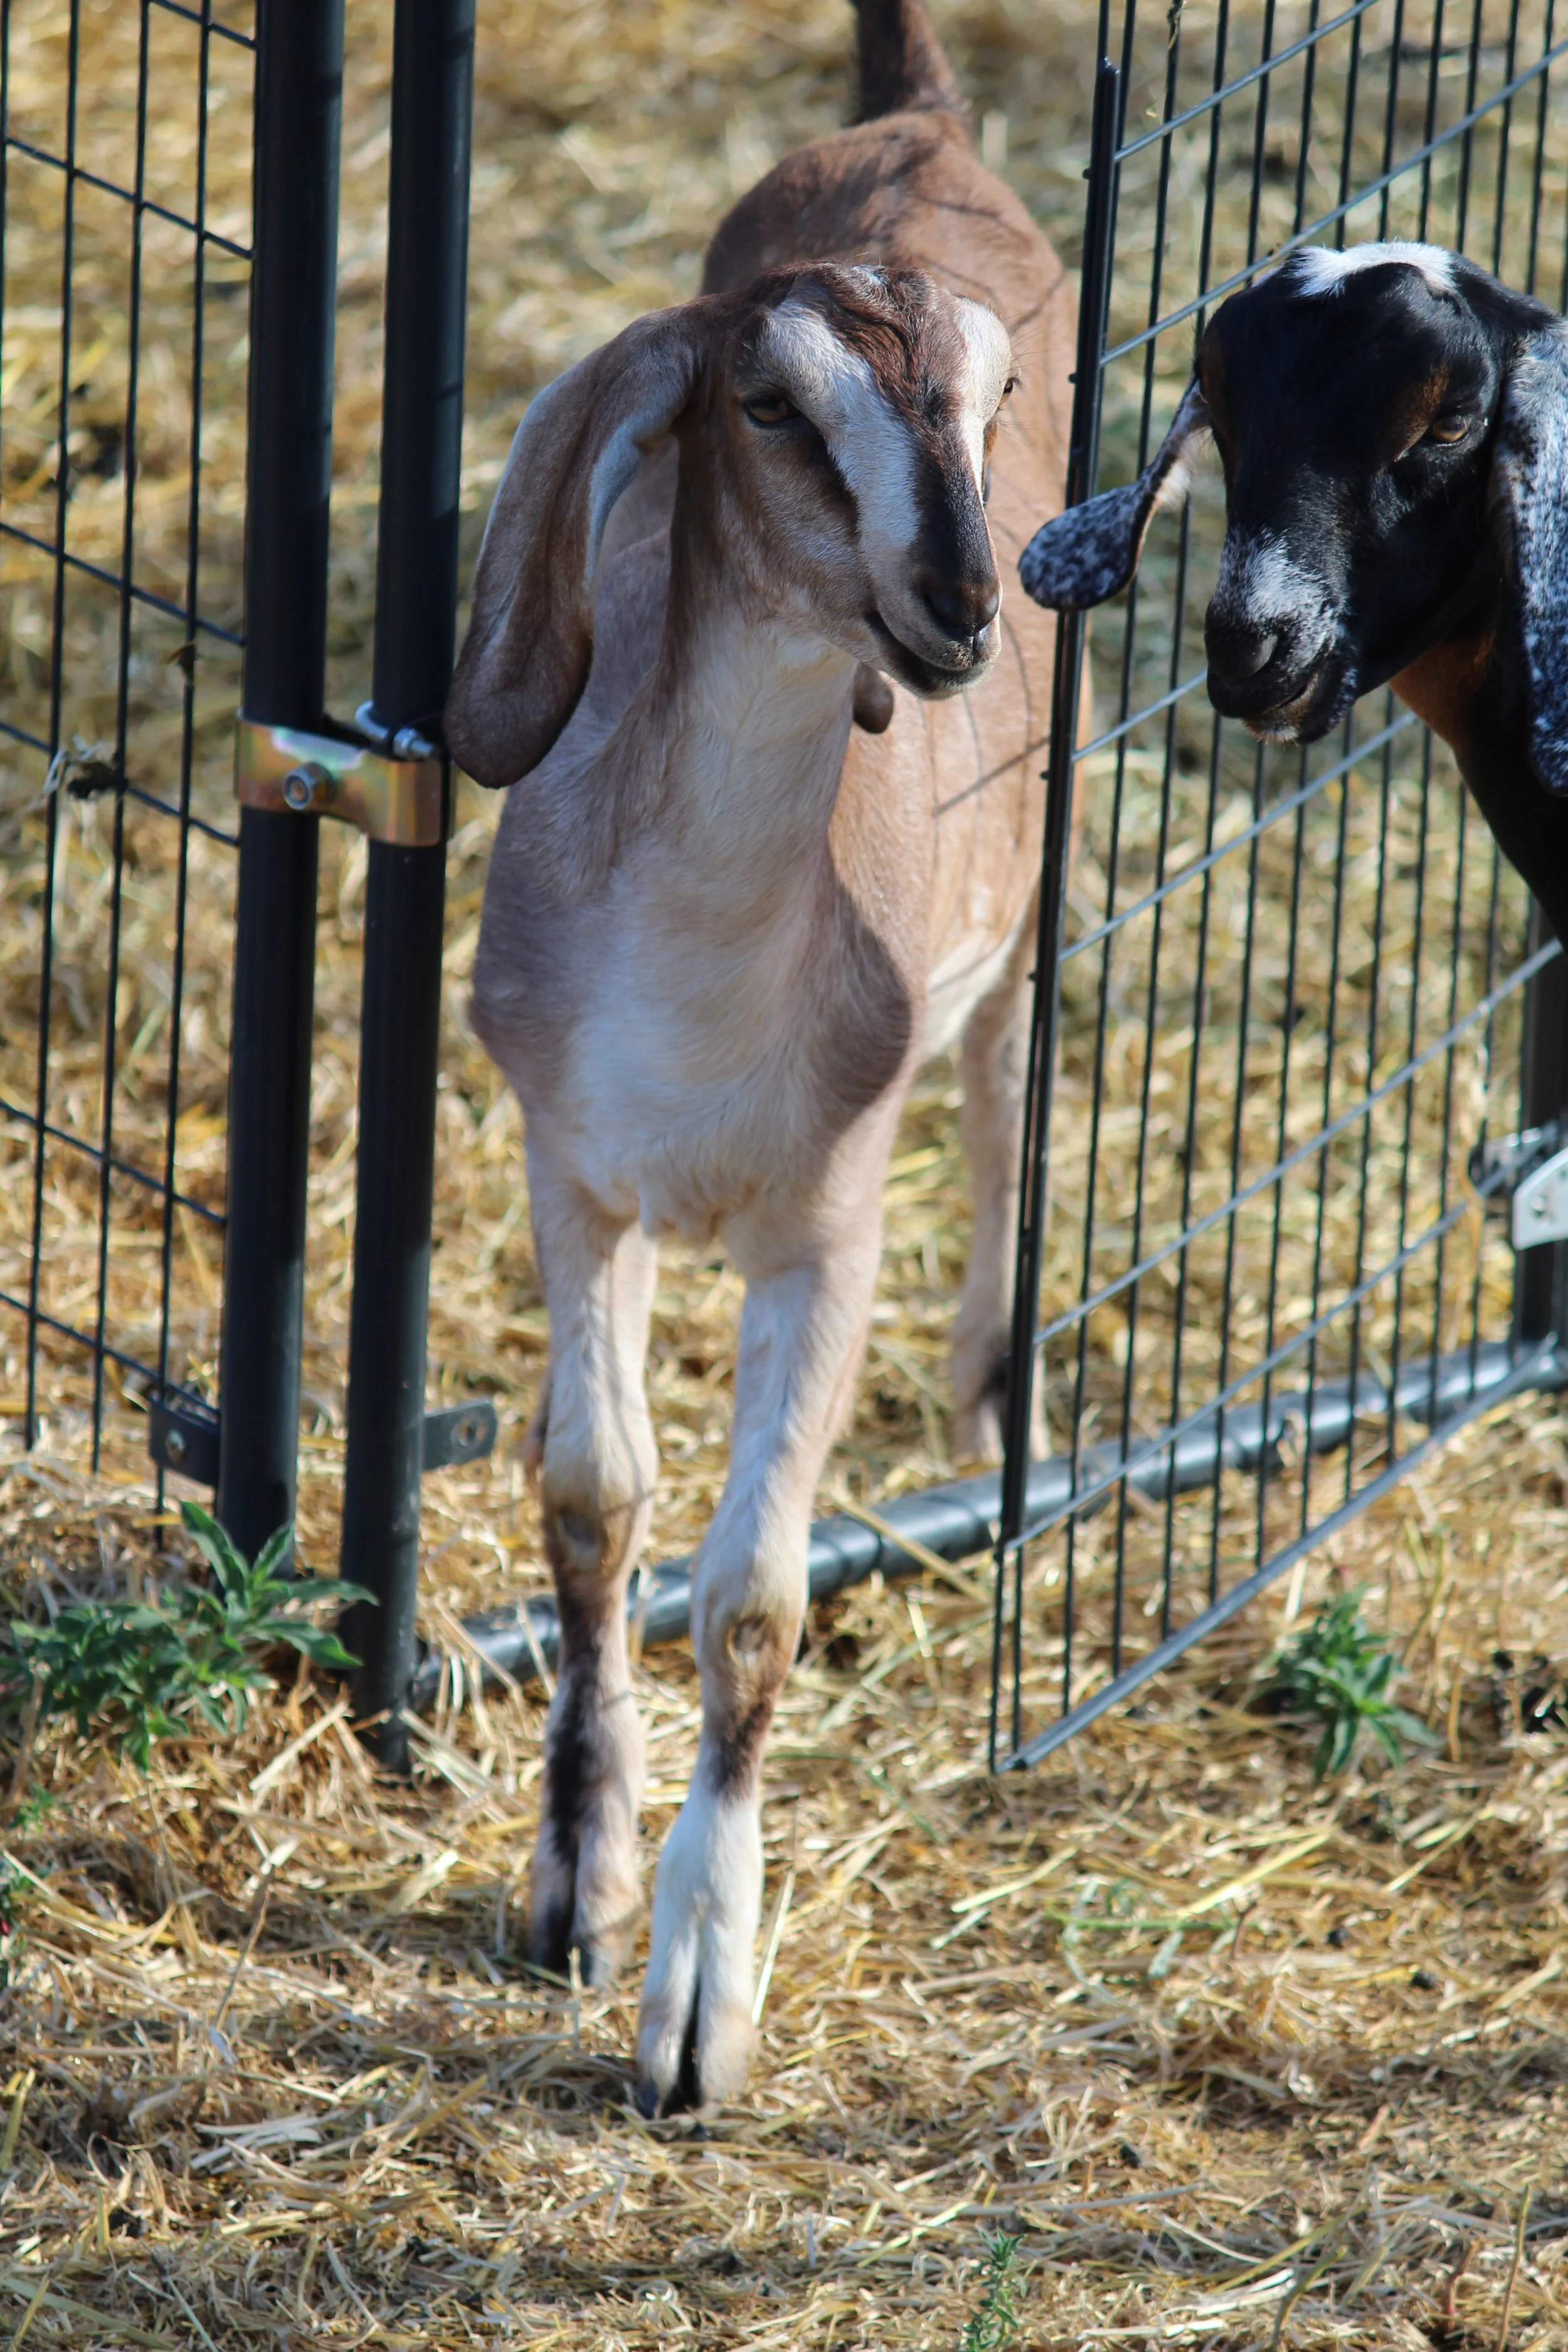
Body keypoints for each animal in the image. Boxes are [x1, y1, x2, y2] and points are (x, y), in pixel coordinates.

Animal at [445, 0, 1073, 2114]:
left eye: (992, 395)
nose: (961, 604)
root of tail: (917, 111)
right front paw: (573, 1878)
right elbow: (589, 1498)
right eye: (776, 412)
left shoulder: (828, 1226)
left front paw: (695, 1999)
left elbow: (751, 1598)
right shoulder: (570, 1166)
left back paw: (993, 1381)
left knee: (1014, 1048)